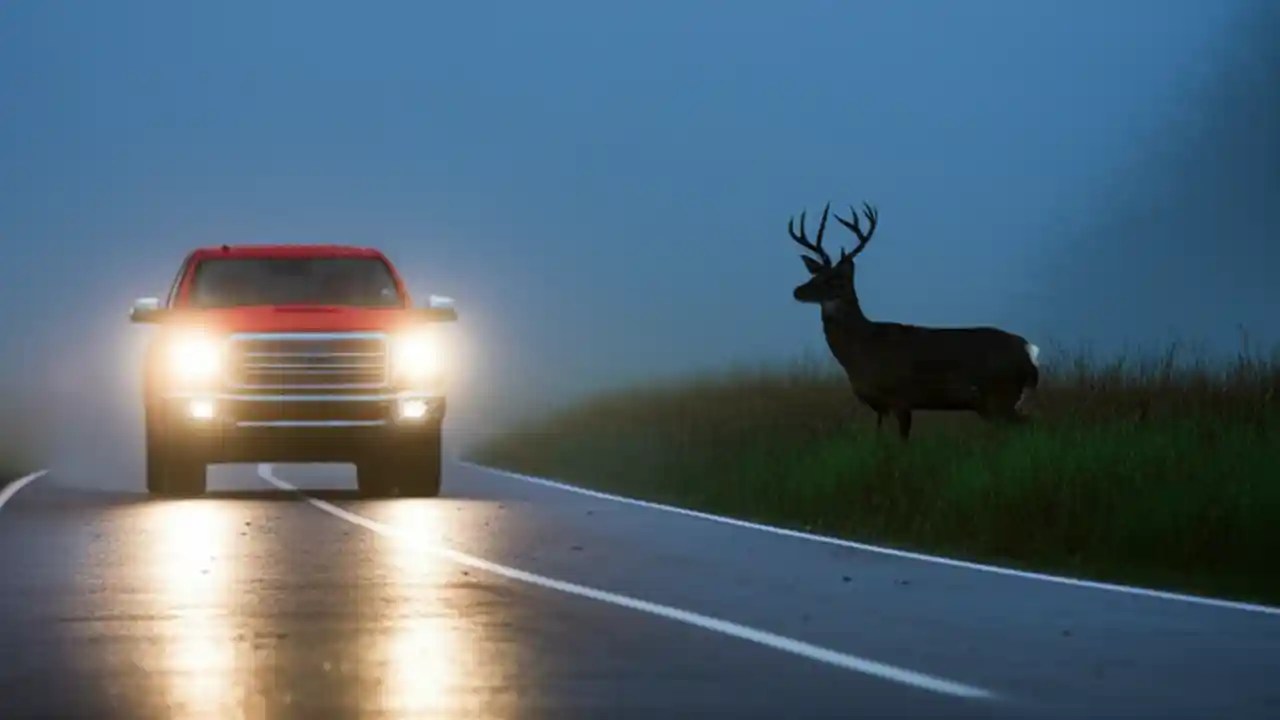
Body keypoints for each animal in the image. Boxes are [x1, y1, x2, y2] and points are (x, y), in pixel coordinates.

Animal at [788, 201, 1041, 440]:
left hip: (1000, 394)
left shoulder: (900, 398)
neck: (862, 348)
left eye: (834, 280)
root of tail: (1029, 350)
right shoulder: (879, 406)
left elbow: (902, 441)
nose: (797, 291)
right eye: (815, 274)